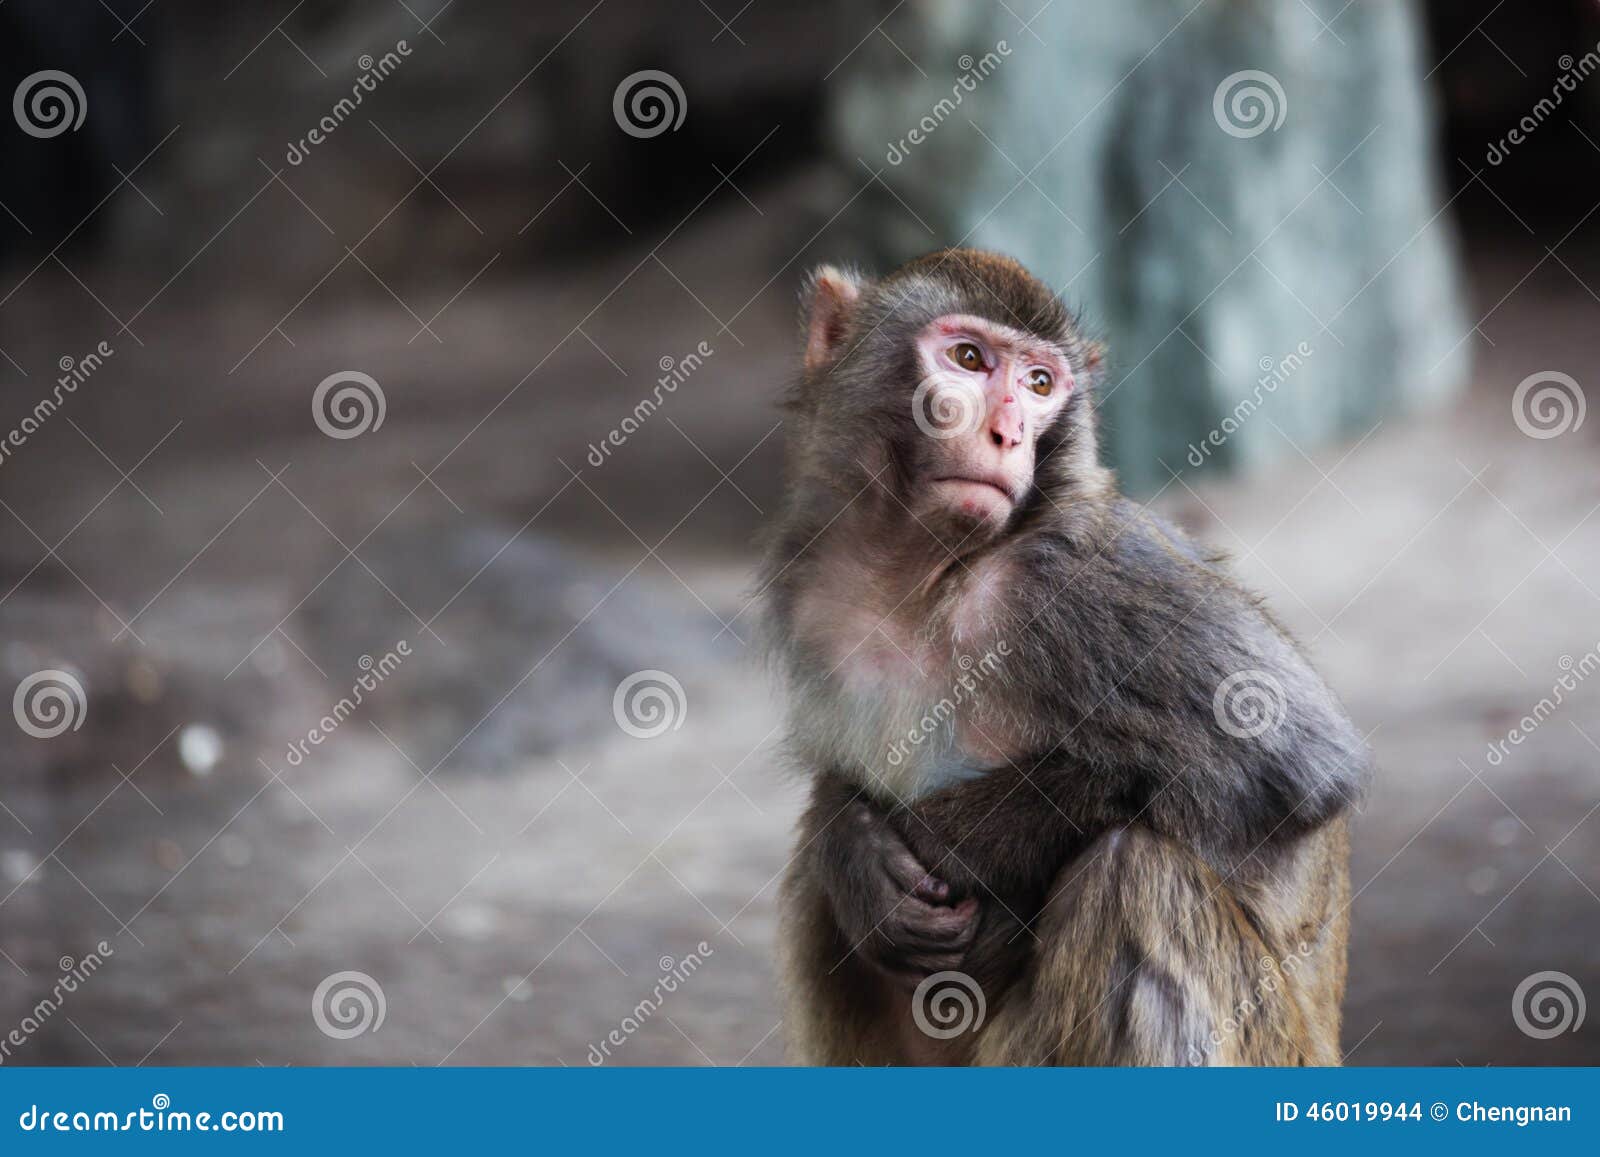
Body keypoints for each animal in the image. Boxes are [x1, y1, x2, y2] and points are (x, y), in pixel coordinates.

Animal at [759, 249, 1369, 1066]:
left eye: (1040, 384)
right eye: (968, 359)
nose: (1010, 432)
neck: (928, 577)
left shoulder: (1075, 574)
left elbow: (1297, 765)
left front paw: (924, 845)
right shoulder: (814, 591)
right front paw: (848, 841)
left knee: (1133, 871)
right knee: (809, 889)